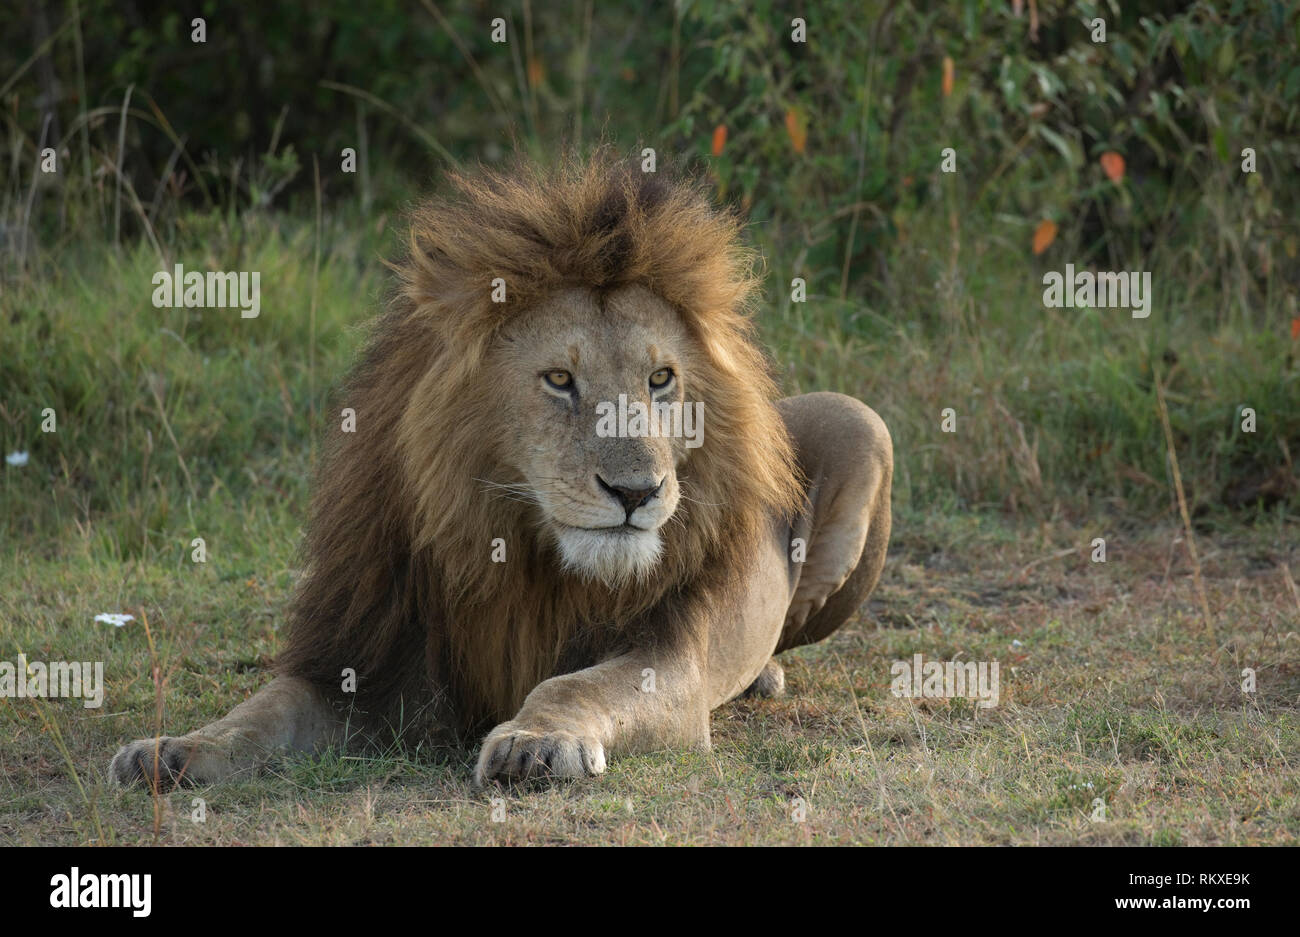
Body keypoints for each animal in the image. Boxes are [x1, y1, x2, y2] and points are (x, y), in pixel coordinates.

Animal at [109, 152, 893, 788]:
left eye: (661, 379)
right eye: (559, 380)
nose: (637, 492)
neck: (518, 547)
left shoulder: (666, 655)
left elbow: (576, 689)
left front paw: (535, 742)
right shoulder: (365, 657)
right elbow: (261, 708)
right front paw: (171, 749)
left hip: (863, 424)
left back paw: (764, 673)